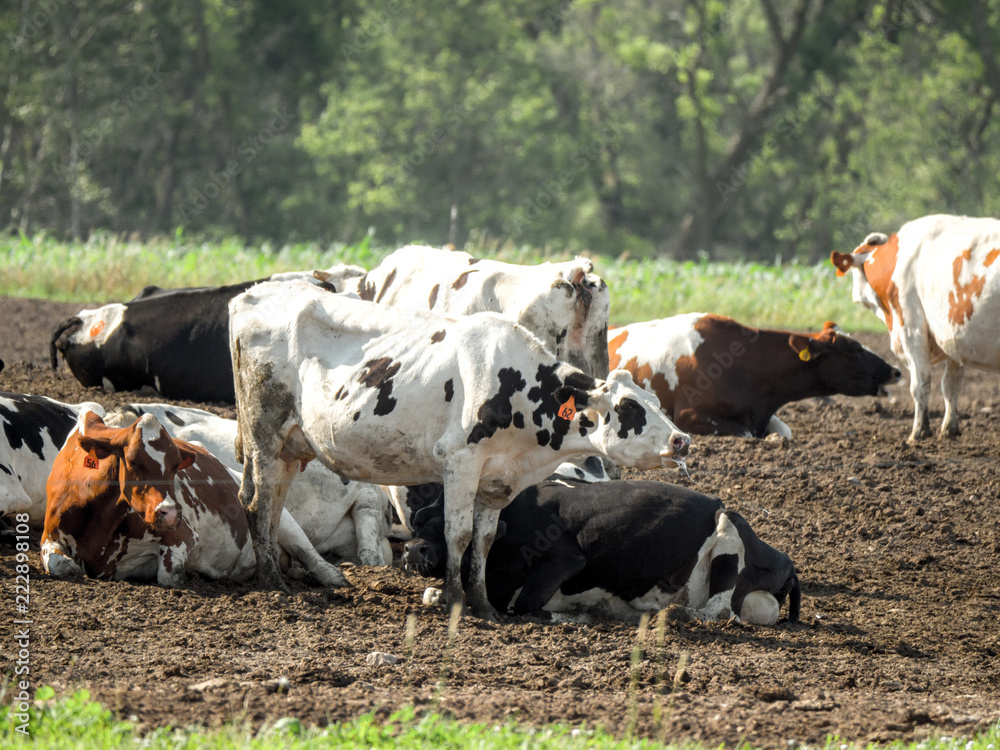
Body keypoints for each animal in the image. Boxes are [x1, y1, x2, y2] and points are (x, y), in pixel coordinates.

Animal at [41, 409, 349, 586]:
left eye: (175, 465)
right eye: (133, 461)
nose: (170, 512)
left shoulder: (183, 536)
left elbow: (169, 574)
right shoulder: (49, 533)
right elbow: (59, 563)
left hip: (281, 518)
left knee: (307, 552)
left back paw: (332, 576)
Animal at [229, 280, 690, 620]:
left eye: (656, 401)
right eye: (628, 407)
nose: (681, 440)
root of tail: (249, 296)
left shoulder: (497, 480)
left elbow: (484, 540)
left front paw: (483, 604)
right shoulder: (460, 462)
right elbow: (459, 533)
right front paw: (454, 599)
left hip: (289, 447)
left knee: (270, 504)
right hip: (263, 434)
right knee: (256, 503)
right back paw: (273, 583)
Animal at [403, 478, 800, 625]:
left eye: (455, 528)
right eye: (420, 522)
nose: (412, 549)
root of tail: (783, 558)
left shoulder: (565, 556)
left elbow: (527, 605)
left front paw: (573, 616)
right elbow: (431, 593)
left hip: (727, 531)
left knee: (718, 610)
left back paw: (669, 613)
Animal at [831, 214, 1000, 441]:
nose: (855, 295)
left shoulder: (911, 327)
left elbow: (920, 385)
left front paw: (918, 432)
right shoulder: (952, 335)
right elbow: (951, 385)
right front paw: (949, 429)